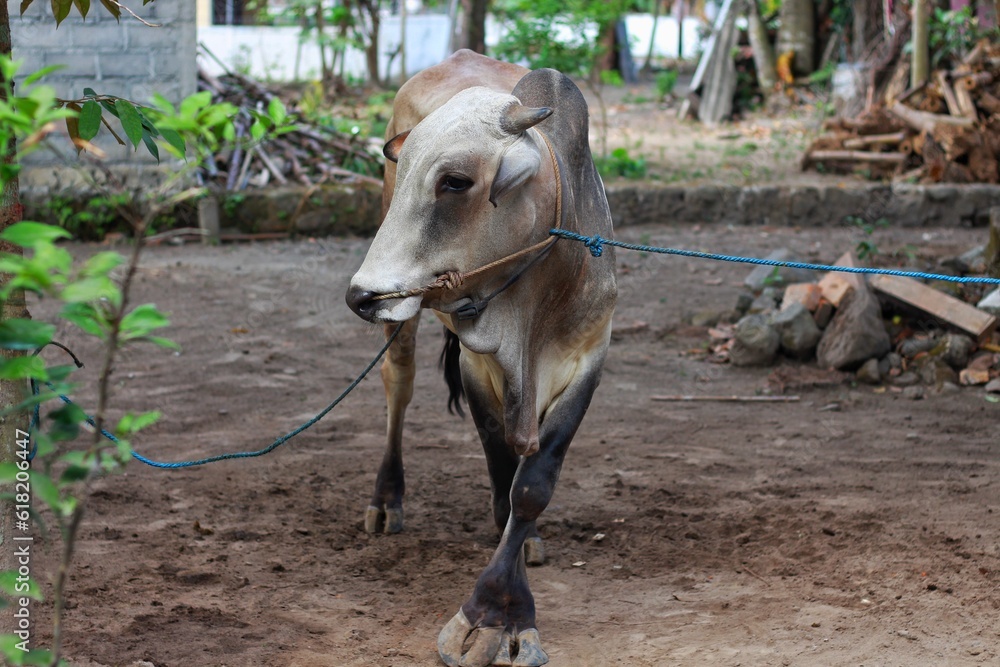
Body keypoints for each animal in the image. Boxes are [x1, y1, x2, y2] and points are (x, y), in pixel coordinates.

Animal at [345, 50, 616, 667]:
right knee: (399, 384)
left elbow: (532, 484)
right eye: (406, 173)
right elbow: (502, 474)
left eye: (455, 181)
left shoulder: (589, 357)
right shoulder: (479, 367)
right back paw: (386, 499)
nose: (361, 295)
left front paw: (506, 607)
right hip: (403, 324)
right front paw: (491, 617)